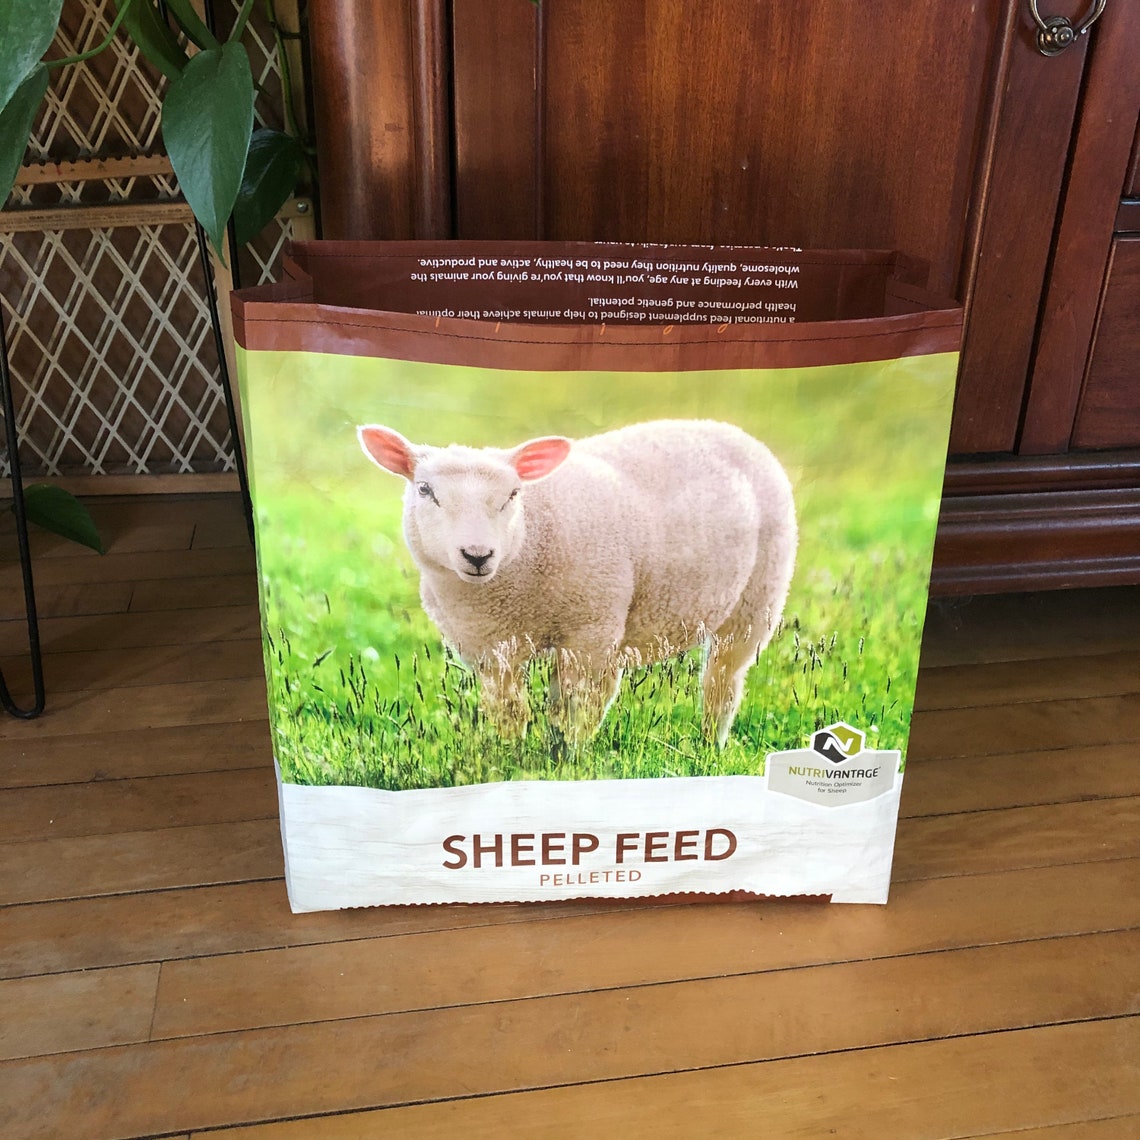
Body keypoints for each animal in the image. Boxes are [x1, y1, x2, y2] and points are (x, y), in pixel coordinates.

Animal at [357, 419, 797, 747]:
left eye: (513, 494)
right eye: (425, 490)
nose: (478, 555)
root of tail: (731, 430)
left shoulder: (591, 631)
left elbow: (575, 708)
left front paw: (568, 761)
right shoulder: (489, 650)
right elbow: (510, 710)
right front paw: (513, 757)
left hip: (757, 597)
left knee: (722, 684)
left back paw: (709, 746)